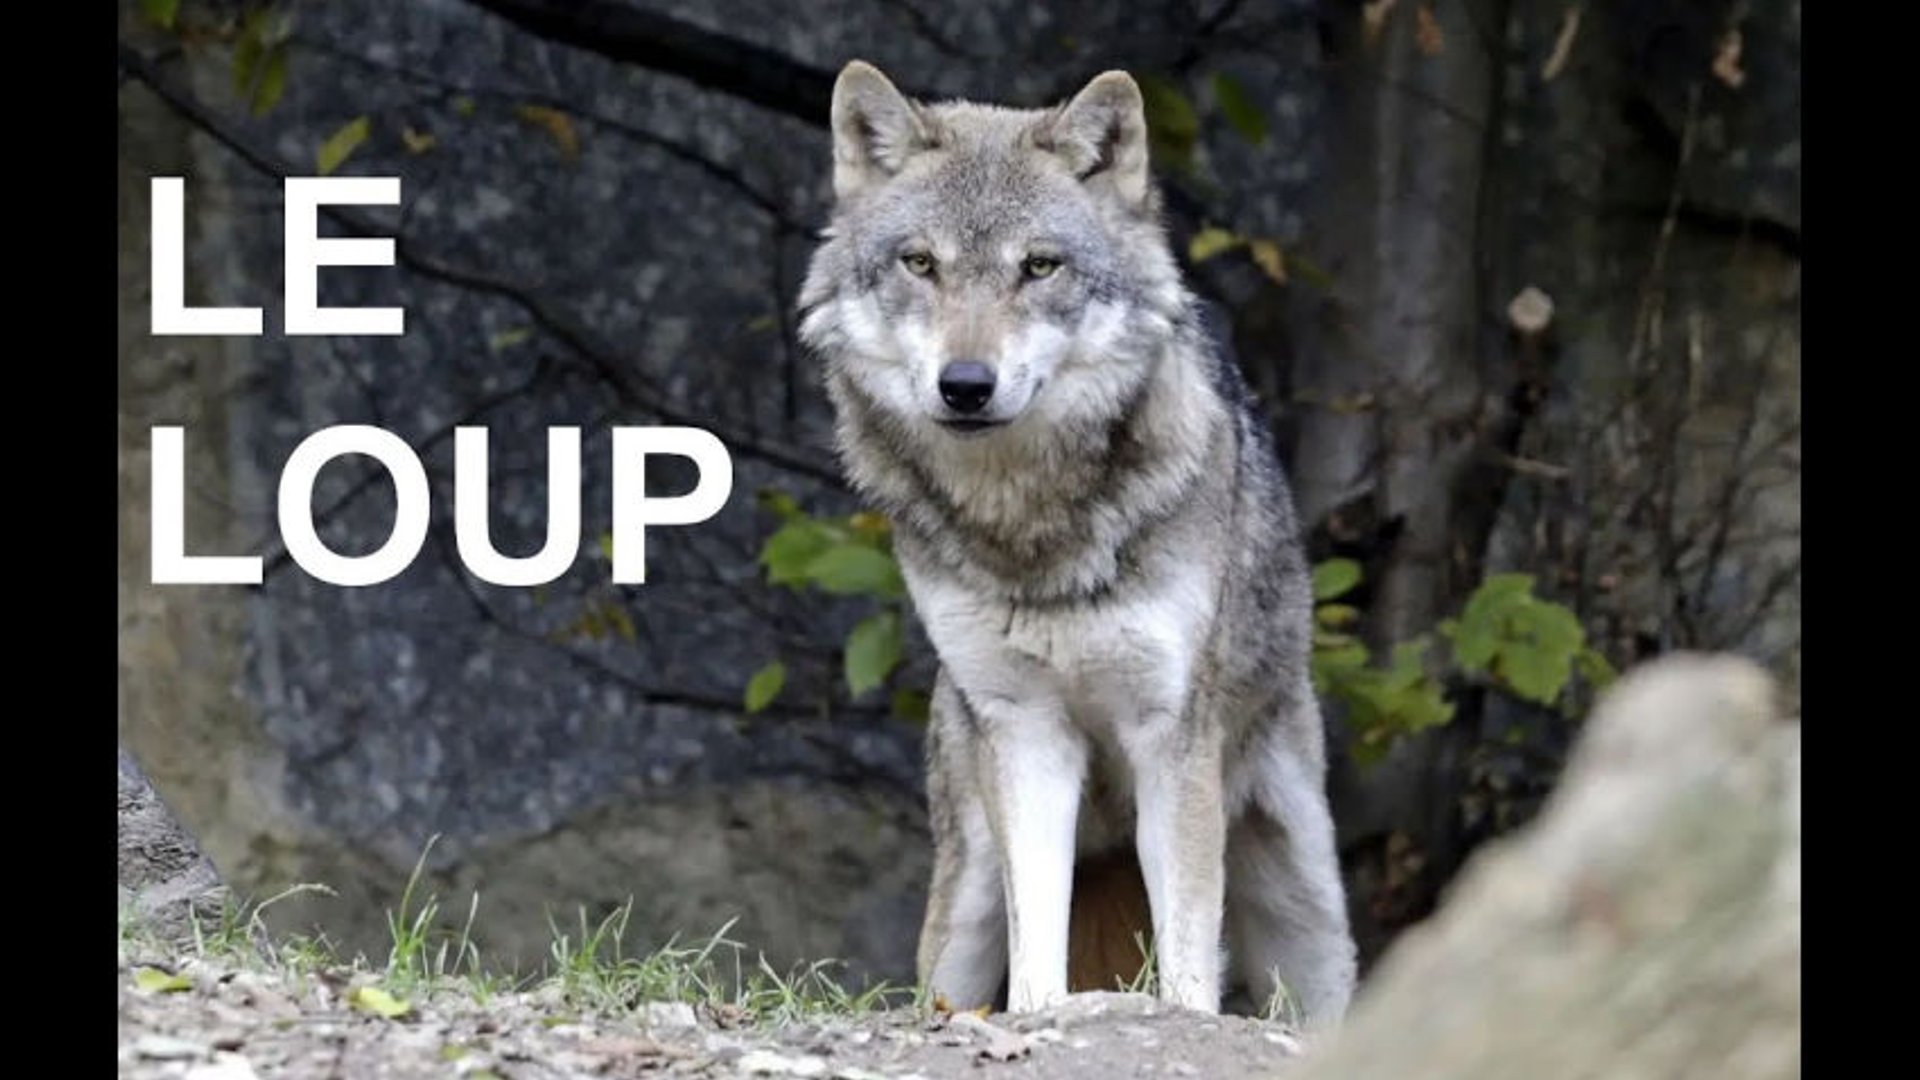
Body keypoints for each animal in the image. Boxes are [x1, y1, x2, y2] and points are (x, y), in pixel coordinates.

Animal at [797, 61, 1358, 1024]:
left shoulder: (1170, 737)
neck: (1031, 531)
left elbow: (1186, 946)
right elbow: (1038, 939)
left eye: (1038, 266)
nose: (966, 385)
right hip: (964, 903)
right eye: (921, 263)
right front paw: (1039, 1018)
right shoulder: (1025, 732)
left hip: (1308, 914)